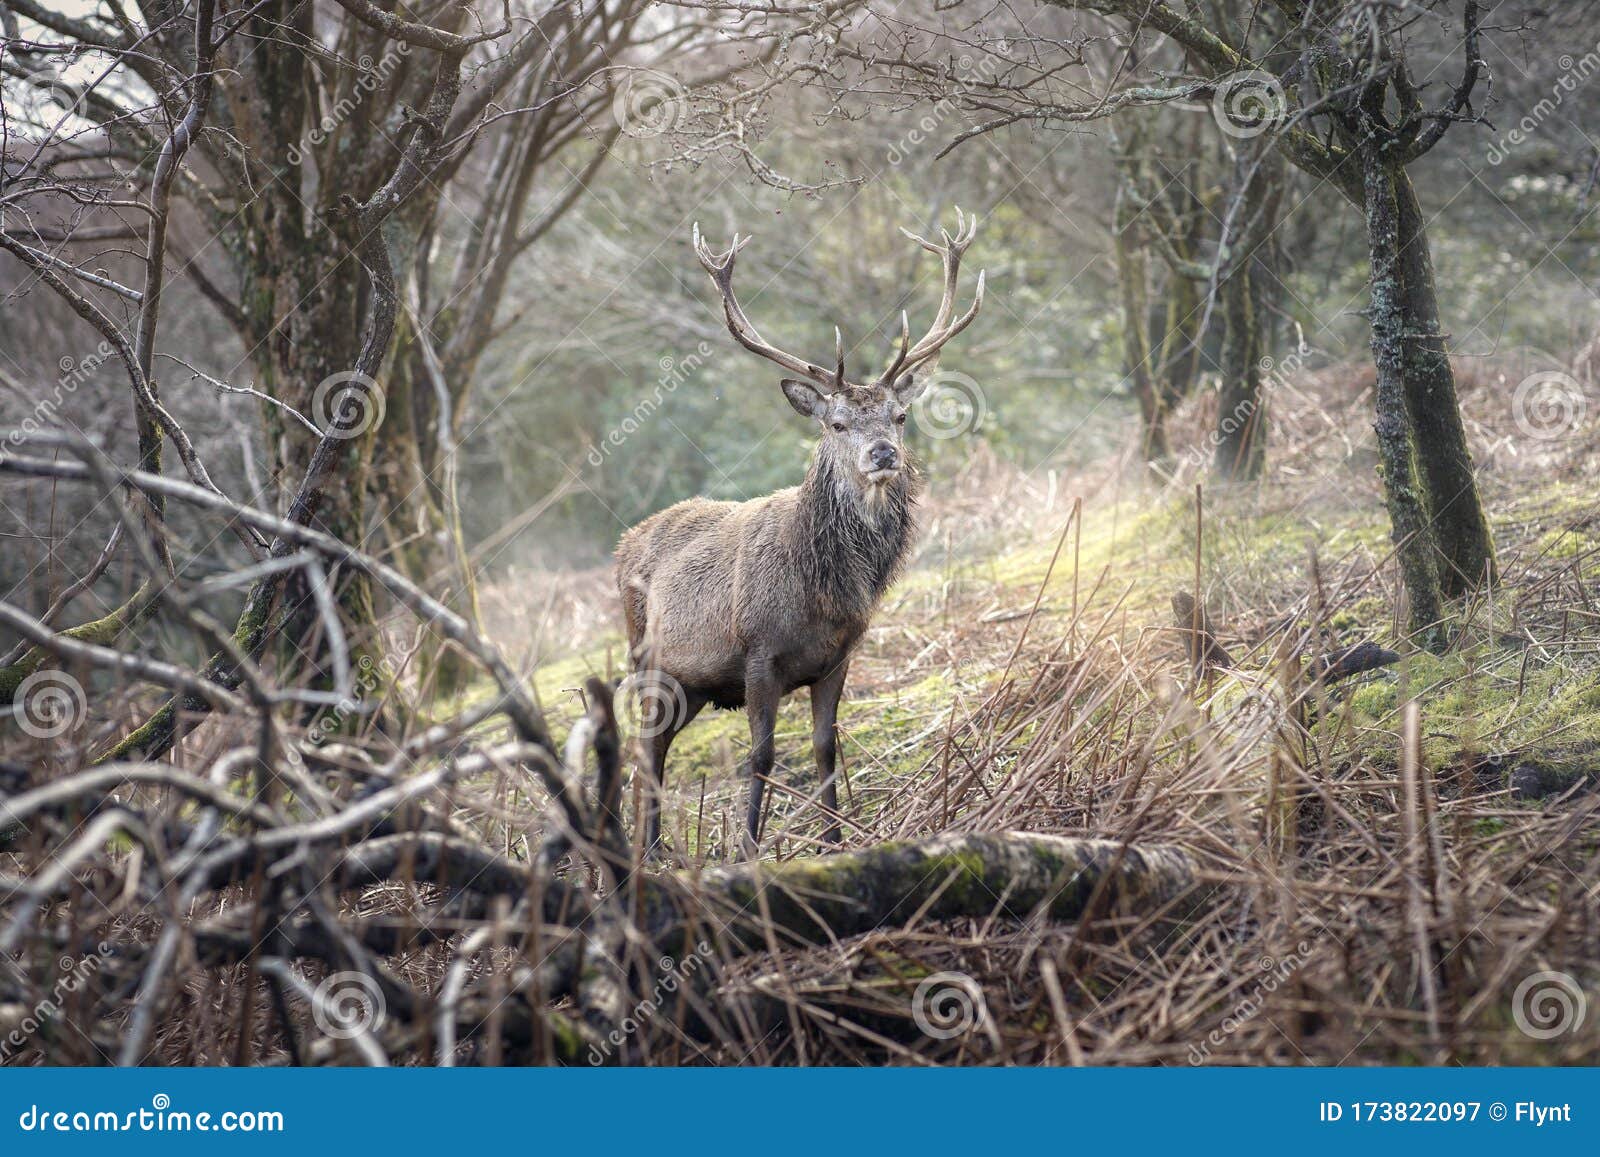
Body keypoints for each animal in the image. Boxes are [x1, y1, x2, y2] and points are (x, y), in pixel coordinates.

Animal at [614, 212, 984, 857]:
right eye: (836, 423)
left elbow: (825, 749)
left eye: (900, 417)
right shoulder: (757, 654)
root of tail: (622, 544)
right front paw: (748, 847)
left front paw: (835, 841)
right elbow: (759, 757)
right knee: (646, 749)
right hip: (647, 657)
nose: (883, 453)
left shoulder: (838, 656)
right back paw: (650, 848)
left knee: (655, 747)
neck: (822, 589)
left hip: (694, 686)